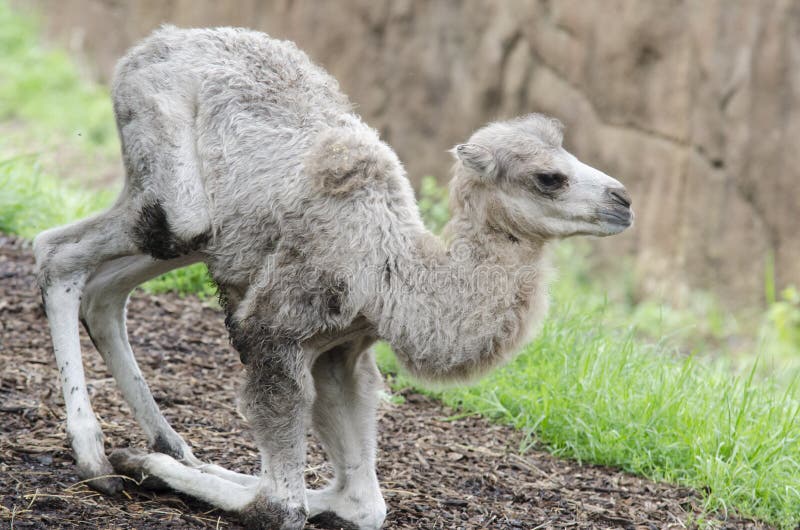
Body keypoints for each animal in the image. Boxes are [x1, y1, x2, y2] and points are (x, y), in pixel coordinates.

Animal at [33, 26, 633, 529]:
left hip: (210, 234)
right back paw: (96, 458)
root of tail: (156, 41)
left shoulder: (342, 350)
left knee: (106, 287)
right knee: (63, 250)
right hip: (164, 141)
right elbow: (281, 505)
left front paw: (176, 464)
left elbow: (362, 502)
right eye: (549, 177)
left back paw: (169, 443)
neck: (395, 271)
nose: (624, 199)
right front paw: (142, 465)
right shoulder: (275, 331)